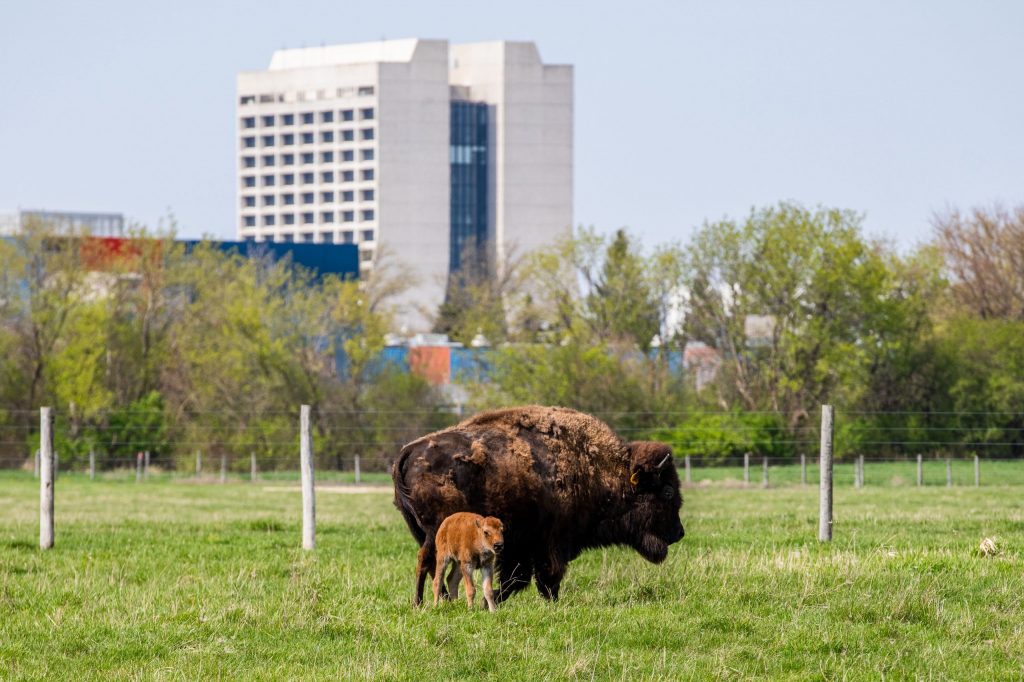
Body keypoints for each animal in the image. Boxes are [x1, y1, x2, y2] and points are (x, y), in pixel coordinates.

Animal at [392, 405, 684, 604]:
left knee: (434, 564)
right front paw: (550, 601)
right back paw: (420, 603)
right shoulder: (550, 543)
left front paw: (491, 599)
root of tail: (409, 451)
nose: (679, 533)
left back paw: (442, 599)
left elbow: (516, 579)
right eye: (668, 491)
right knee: (427, 561)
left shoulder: (519, 546)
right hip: (435, 530)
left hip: (426, 532)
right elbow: (546, 576)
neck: (596, 467)